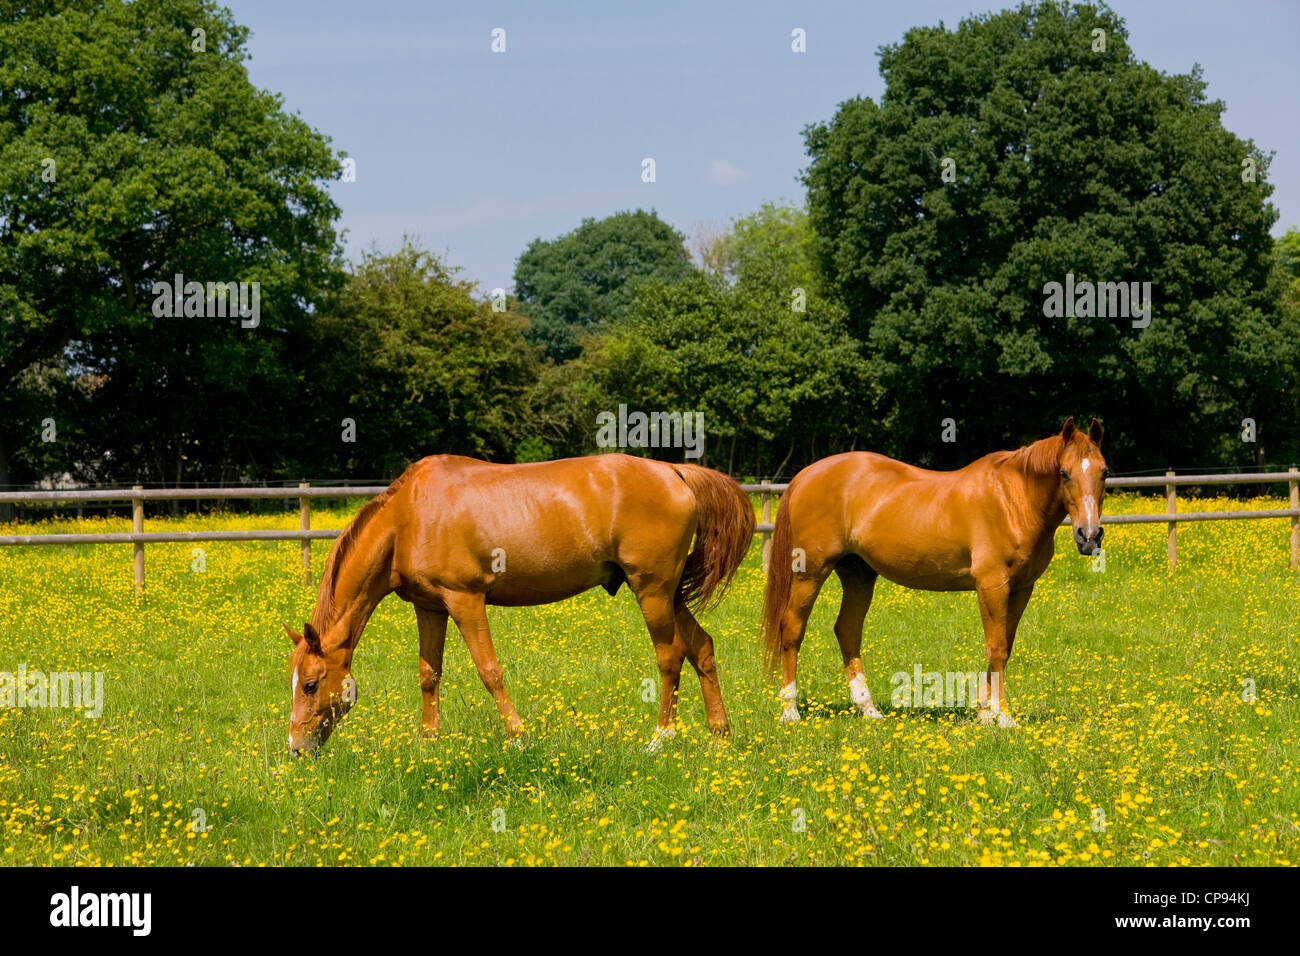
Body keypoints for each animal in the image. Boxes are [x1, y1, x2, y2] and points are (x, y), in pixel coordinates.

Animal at [285, 453, 754, 753]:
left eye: (309, 684)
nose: (296, 749)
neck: (408, 516)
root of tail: (674, 472)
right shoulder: (430, 607)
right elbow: (429, 675)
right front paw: (428, 743)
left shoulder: (465, 600)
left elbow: (489, 671)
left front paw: (518, 737)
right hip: (669, 594)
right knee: (702, 648)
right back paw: (719, 733)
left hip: (652, 591)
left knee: (670, 656)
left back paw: (659, 739)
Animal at [761, 417, 1106, 728]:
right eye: (1064, 473)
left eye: (1103, 472)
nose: (1089, 535)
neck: (1012, 499)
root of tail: (804, 476)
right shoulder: (992, 585)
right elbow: (996, 649)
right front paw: (1003, 717)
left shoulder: (1021, 588)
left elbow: (1004, 647)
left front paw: (985, 713)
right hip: (810, 573)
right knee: (792, 629)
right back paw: (790, 711)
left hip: (858, 576)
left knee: (847, 631)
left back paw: (868, 709)